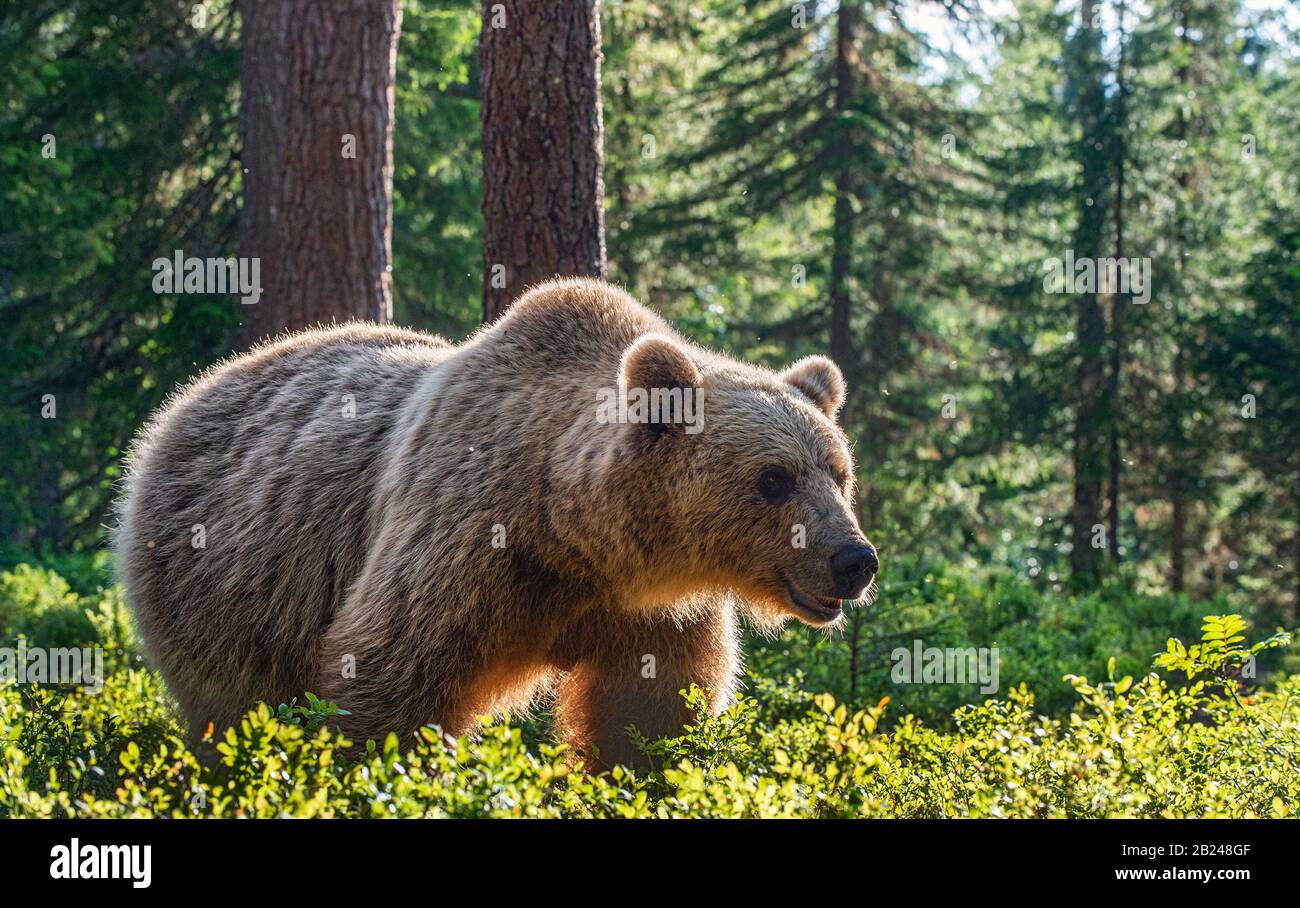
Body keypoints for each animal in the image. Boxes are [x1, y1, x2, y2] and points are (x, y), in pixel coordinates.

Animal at [115, 278, 878, 767]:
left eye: (839, 472)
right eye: (774, 478)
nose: (854, 559)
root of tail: (185, 399)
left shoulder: (654, 614)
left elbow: (651, 714)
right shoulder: (467, 544)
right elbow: (391, 678)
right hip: (226, 583)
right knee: (236, 707)